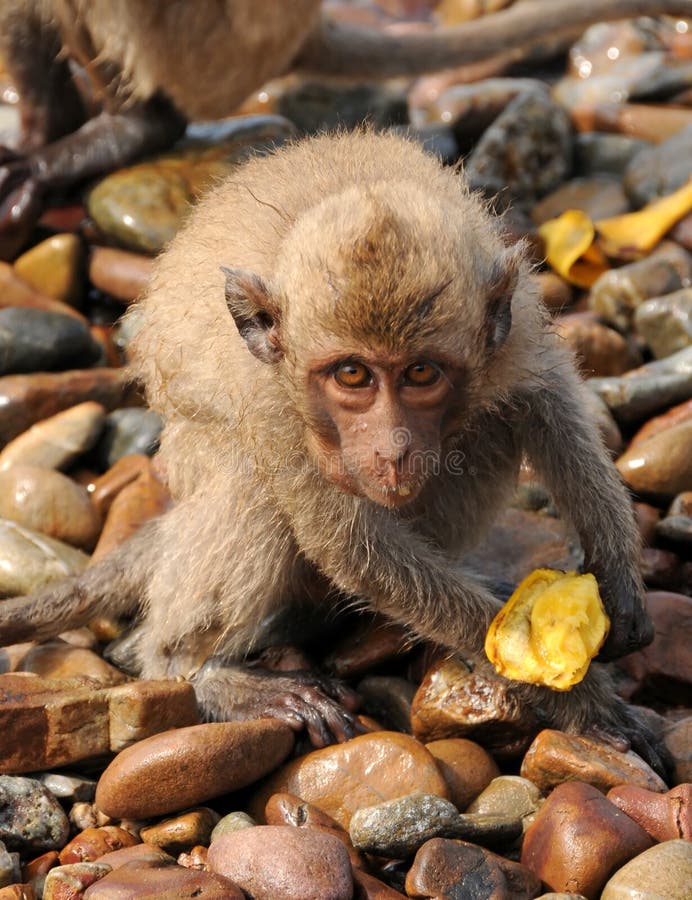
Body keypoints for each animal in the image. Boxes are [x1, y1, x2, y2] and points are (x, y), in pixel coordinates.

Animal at [0, 129, 666, 770]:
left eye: (421, 373)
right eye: (352, 375)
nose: (393, 450)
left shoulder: (514, 324)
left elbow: (547, 404)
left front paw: (616, 572)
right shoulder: (270, 401)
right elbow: (346, 540)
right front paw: (578, 699)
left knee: (493, 426)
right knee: (252, 492)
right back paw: (195, 670)